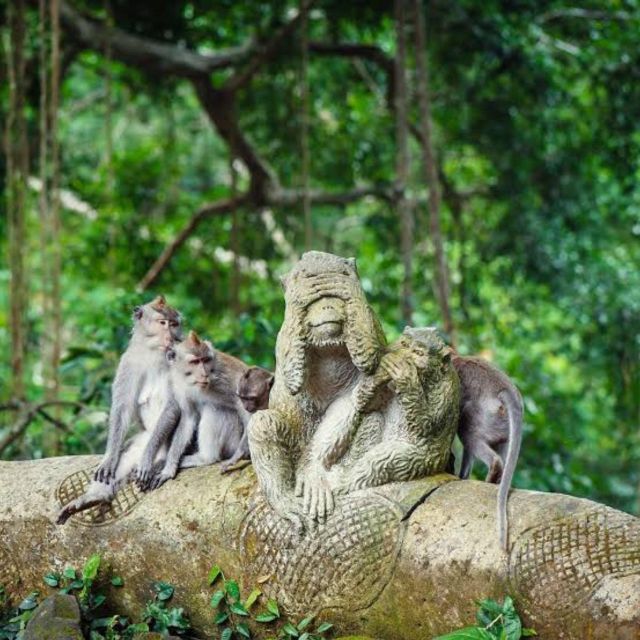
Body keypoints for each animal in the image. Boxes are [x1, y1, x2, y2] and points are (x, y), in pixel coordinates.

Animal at [57, 295, 182, 524]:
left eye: (174, 324)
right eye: (162, 323)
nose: (170, 336)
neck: (154, 353)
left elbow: (173, 406)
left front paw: (146, 461)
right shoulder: (128, 361)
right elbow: (122, 409)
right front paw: (108, 459)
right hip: (143, 437)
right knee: (128, 452)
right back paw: (94, 497)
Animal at [135, 331, 253, 490]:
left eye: (205, 360)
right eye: (195, 362)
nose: (204, 374)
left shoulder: (224, 378)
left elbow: (244, 406)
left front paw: (240, 453)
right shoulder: (179, 385)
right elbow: (188, 417)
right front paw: (168, 469)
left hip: (233, 440)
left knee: (214, 409)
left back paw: (206, 458)